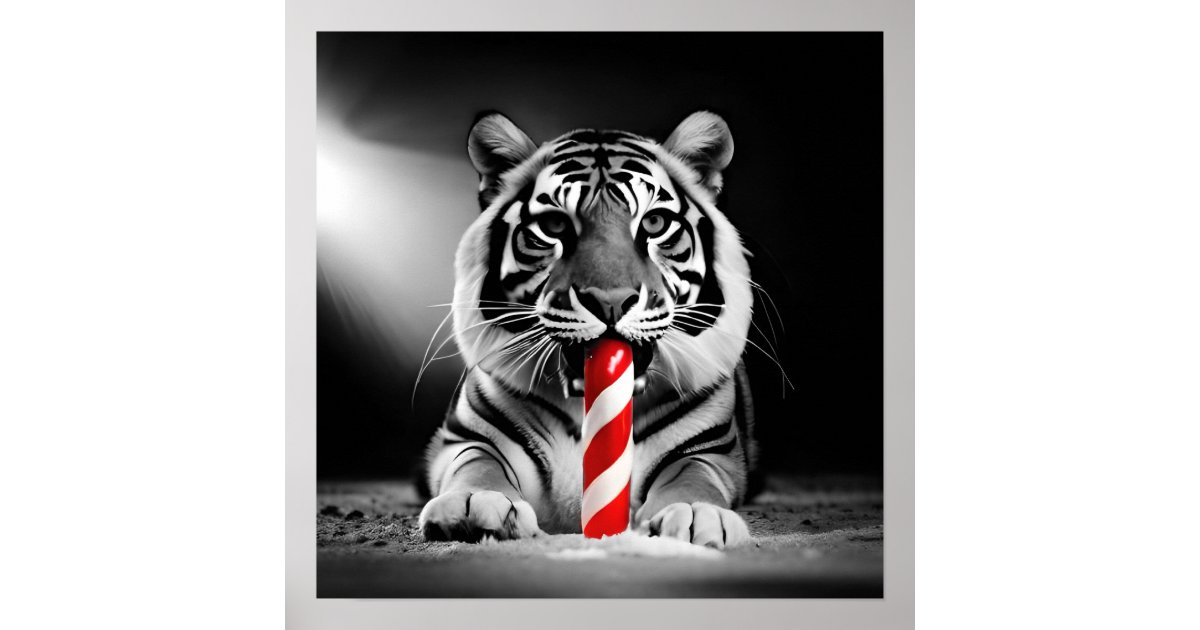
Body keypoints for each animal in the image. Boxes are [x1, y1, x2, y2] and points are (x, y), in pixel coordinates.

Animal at [418, 111, 759, 549]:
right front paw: (474, 504)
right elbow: (477, 463)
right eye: (553, 225)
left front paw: (696, 514)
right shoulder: (469, 436)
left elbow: (693, 474)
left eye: (654, 222)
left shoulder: (711, 449)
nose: (610, 301)